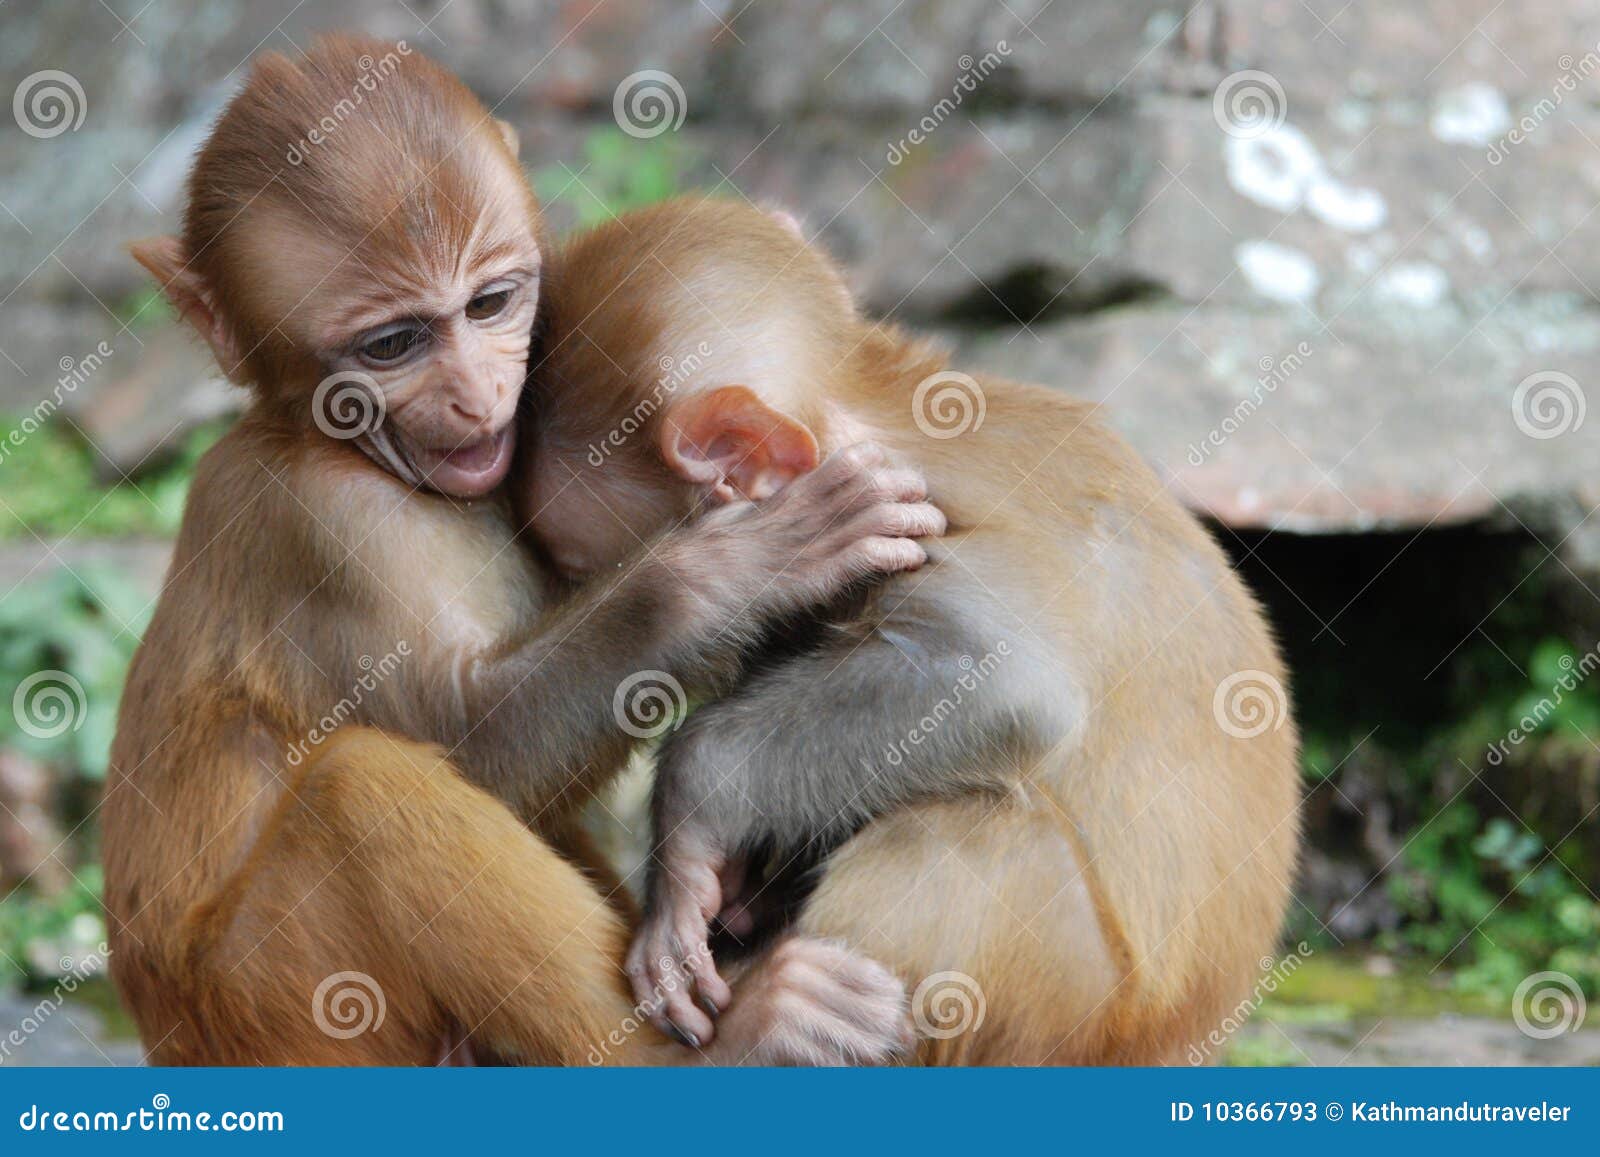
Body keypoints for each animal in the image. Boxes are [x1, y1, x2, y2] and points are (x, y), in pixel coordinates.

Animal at [101, 37, 936, 1066]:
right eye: (393, 344)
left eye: (490, 303)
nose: (475, 393)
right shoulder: (321, 526)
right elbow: (475, 740)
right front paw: (727, 571)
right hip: (271, 1003)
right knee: (364, 788)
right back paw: (738, 1036)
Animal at [517, 196, 1302, 1064]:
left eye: (574, 567)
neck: (882, 412)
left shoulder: (921, 519)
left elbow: (1006, 680)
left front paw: (690, 818)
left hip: (1075, 1006)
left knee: (955, 840)